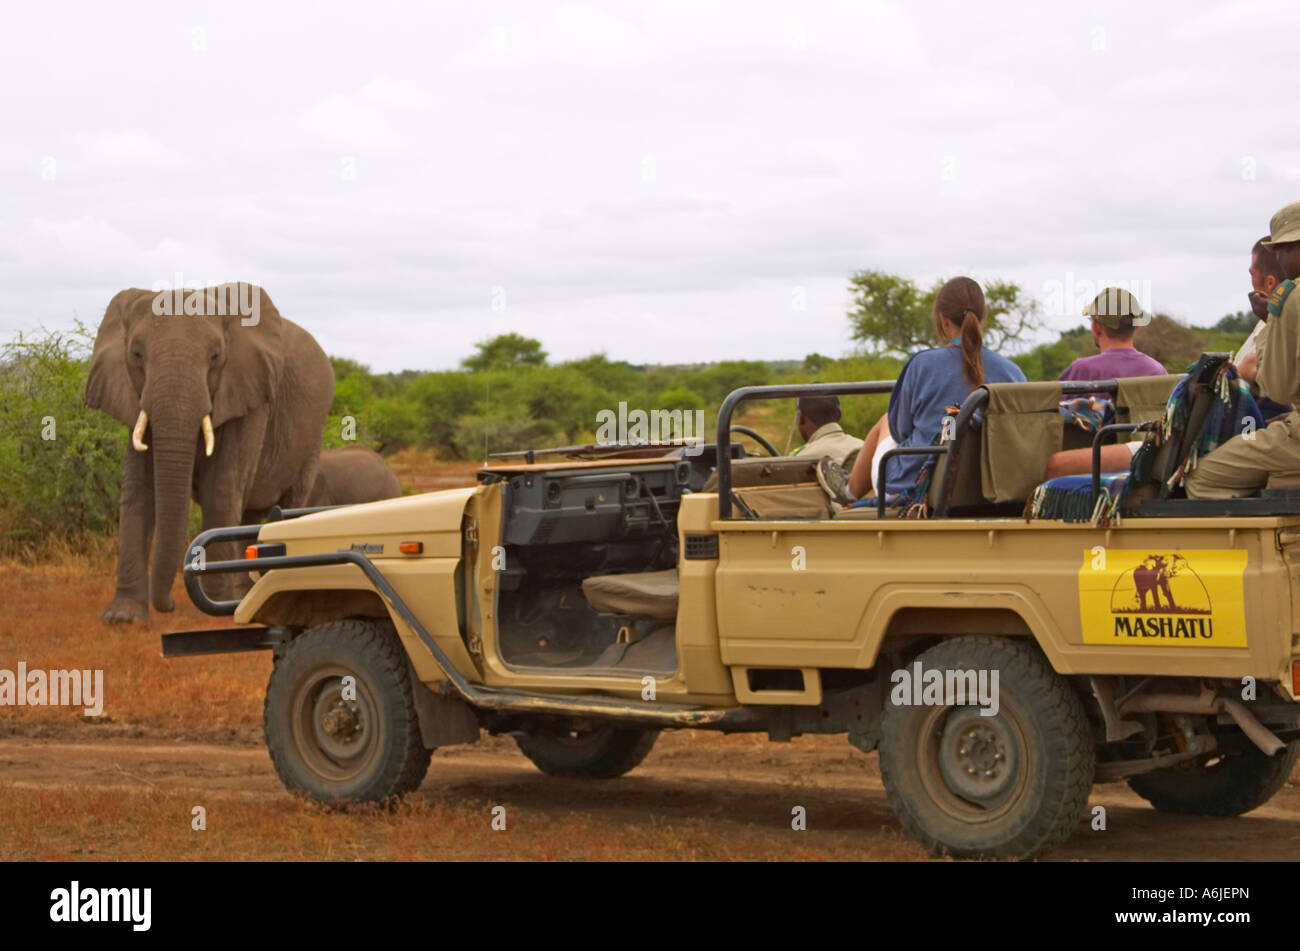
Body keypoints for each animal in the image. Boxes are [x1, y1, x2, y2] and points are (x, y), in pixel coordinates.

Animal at [85, 285, 334, 623]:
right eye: (136, 354)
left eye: (216, 357)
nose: (169, 605)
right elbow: (138, 492)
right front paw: (123, 618)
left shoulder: (250, 395)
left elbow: (220, 489)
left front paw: (211, 612)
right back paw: (245, 594)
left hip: (311, 439)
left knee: (288, 504)